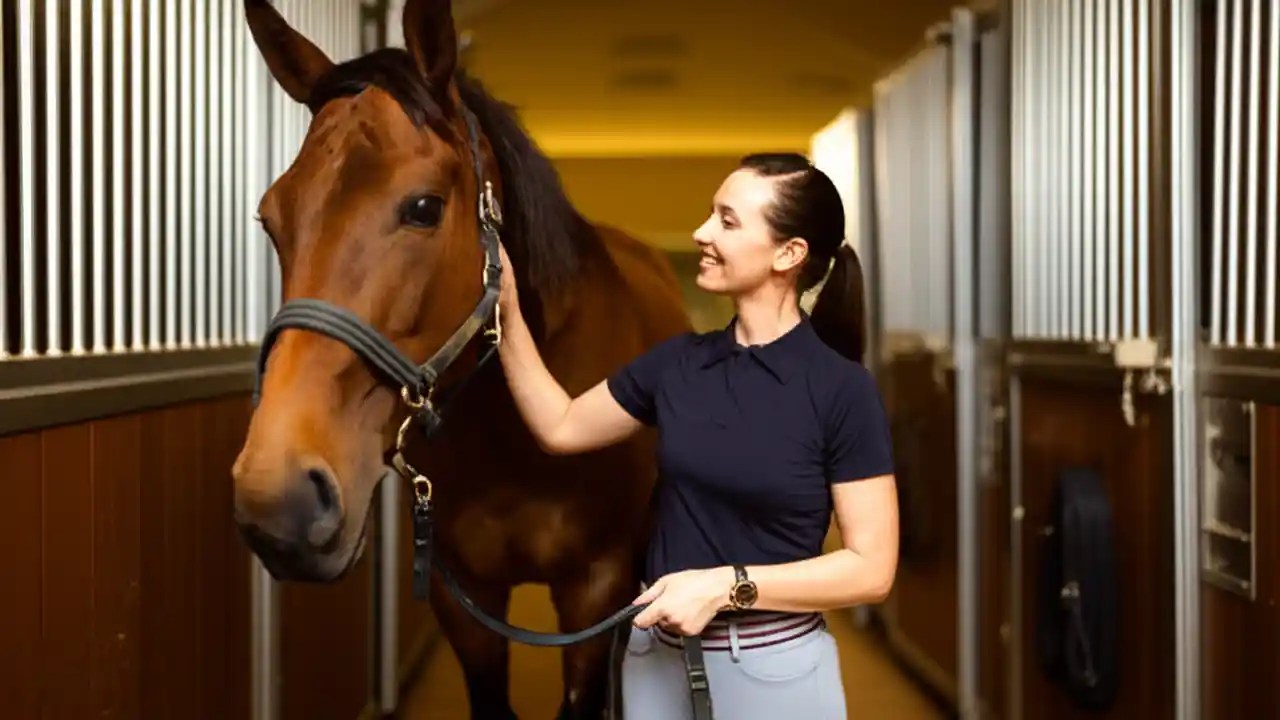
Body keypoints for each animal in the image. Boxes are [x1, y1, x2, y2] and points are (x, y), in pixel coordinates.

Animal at [230, 0, 692, 717]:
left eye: (424, 207)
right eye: (270, 220)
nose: (276, 499)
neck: (519, 441)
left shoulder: (596, 593)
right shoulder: (465, 603)